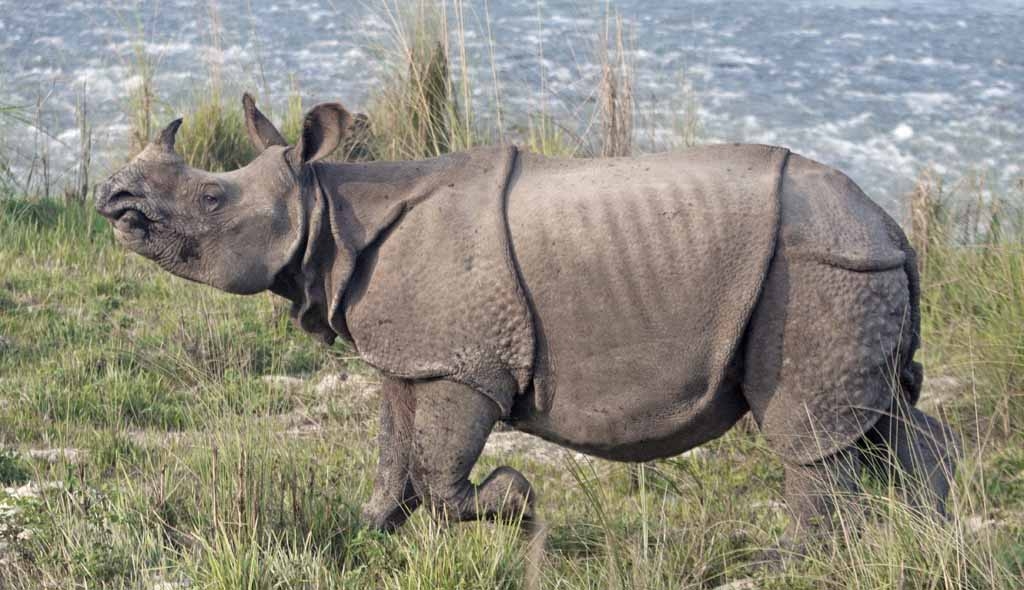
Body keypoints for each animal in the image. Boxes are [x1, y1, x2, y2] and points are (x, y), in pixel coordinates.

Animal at [95, 95, 958, 534]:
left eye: (212, 198)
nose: (114, 199)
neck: (330, 210)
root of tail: (890, 226)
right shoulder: (414, 350)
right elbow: (391, 443)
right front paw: (369, 527)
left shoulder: (466, 362)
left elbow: (439, 467)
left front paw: (514, 501)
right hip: (849, 267)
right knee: (882, 416)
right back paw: (928, 532)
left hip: (814, 267)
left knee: (811, 437)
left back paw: (802, 557)